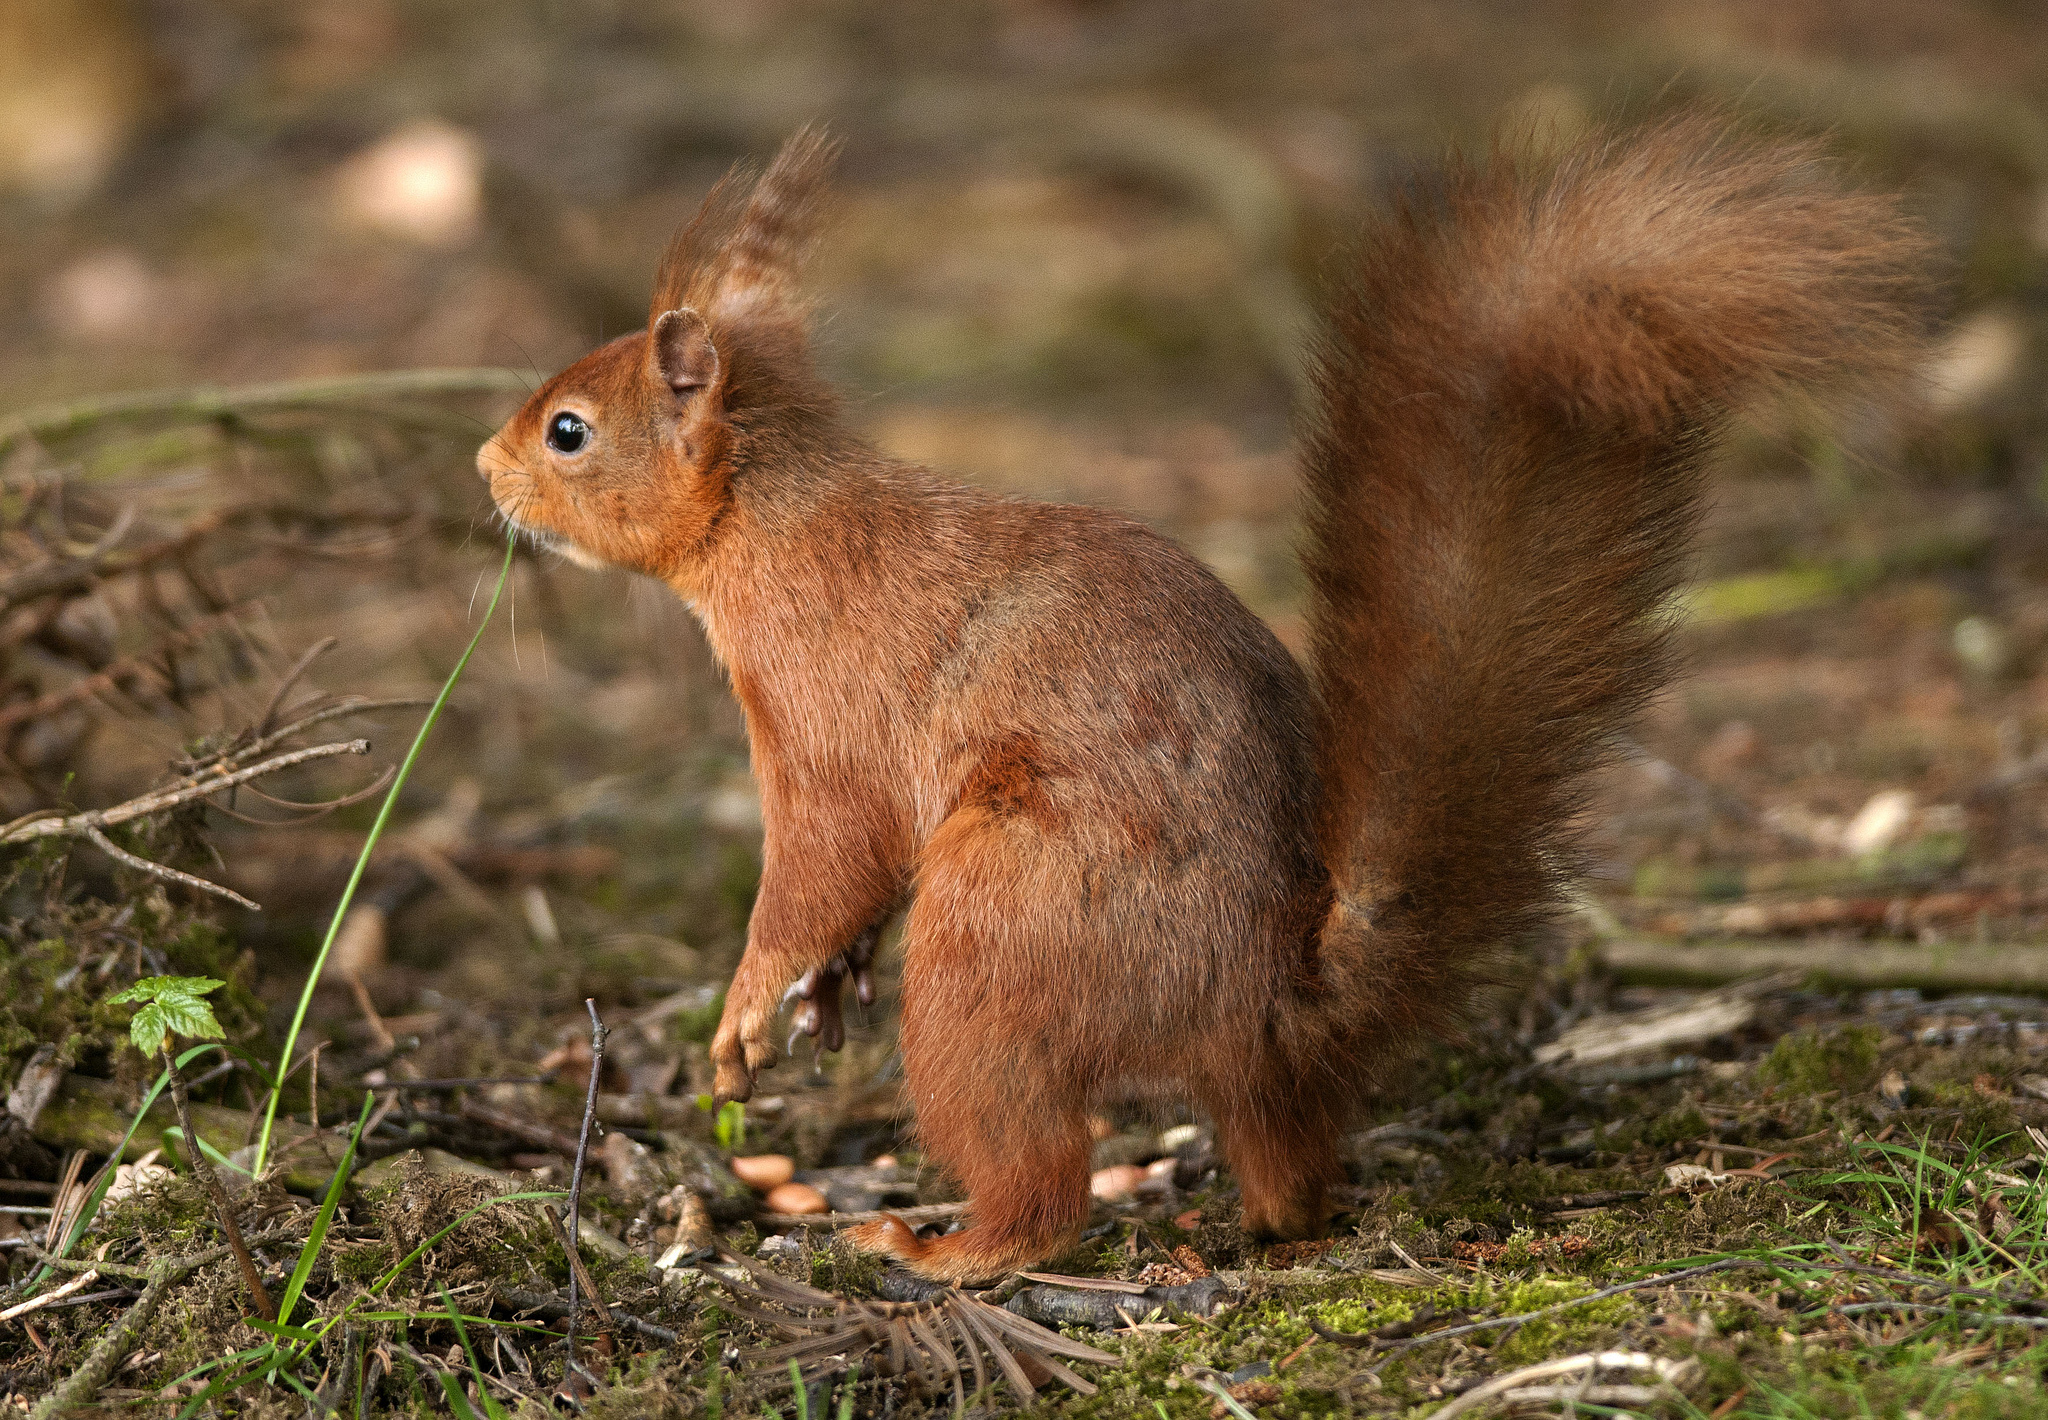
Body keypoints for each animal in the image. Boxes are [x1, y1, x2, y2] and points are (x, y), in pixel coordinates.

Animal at [478, 115, 1927, 1282]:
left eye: (569, 430)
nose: (483, 466)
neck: (769, 524)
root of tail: (1269, 1007)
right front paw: (815, 1003)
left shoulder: (823, 726)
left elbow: (819, 871)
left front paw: (743, 1010)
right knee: (1283, 1172)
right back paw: (1263, 1217)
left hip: (1003, 930)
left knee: (1040, 1181)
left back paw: (948, 1247)